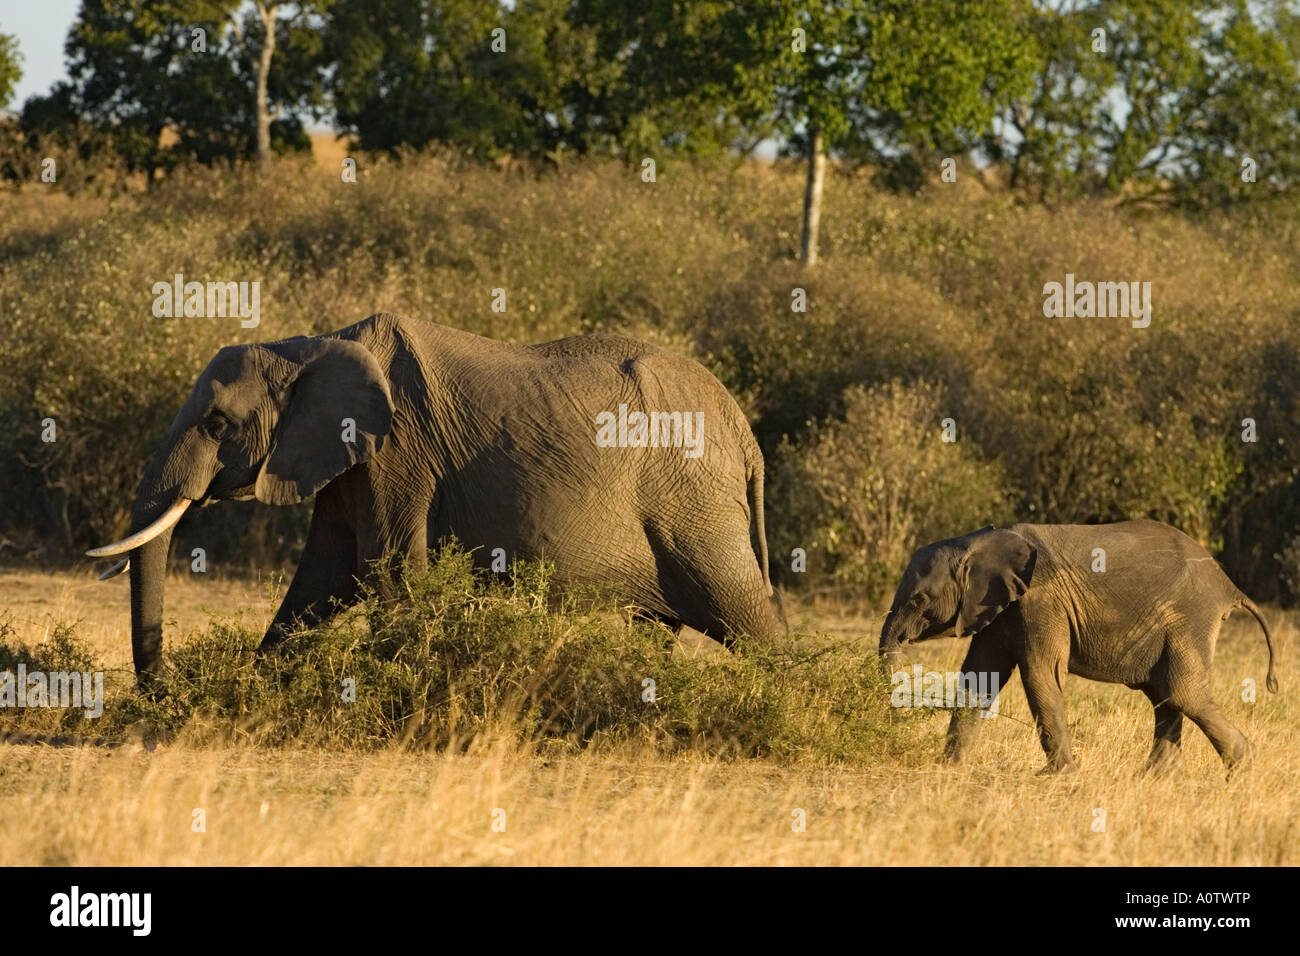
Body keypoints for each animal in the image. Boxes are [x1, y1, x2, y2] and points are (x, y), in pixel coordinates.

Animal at [88, 312, 781, 687]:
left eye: (216, 424)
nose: (158, 690)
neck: (307, 346)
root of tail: (745, 435)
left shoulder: (397, 451)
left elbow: (387, 574)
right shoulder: (347, 460)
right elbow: (324, 578)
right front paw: (254, 690)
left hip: (692, 499)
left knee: (741, 609)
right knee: (657, 626)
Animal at [878, 521, 1279, 775]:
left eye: (918, 601)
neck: (979, 542)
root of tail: (1228, 585)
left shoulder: (1040, 599)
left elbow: (1041, 676)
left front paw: (1059, 776)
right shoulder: (1001, 607)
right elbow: (980, 677)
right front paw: (946, 769)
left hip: (1189, 617)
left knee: (1184, 693)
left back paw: (1243, 769)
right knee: (1166, 695)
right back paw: (1153, 778)